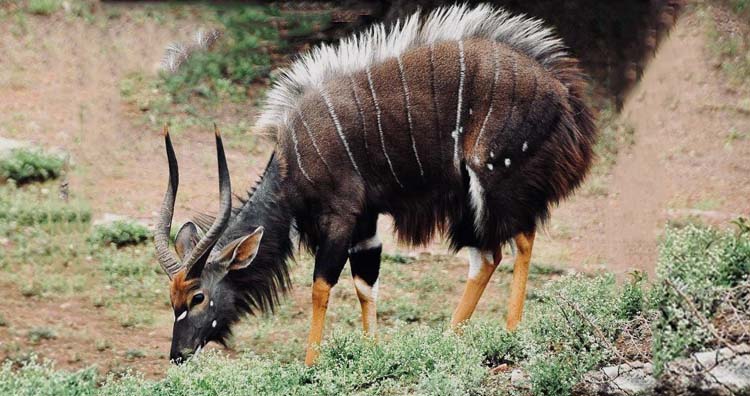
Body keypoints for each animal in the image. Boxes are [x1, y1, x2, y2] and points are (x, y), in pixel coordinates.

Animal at [156, 5, 596, 366]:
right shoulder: (366, 225)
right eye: (172, 299)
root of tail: (562, 94)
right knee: (489, 254)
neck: (289, 168)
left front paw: (310, 366)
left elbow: (321, 286)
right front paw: (372, 354)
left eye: (197, 296)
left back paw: (509, 332)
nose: (178, 354)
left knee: (518, 240)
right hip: (473, 201)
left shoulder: (341, 217)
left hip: (494, 181)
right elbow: (365, 285)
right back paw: (448, 339)